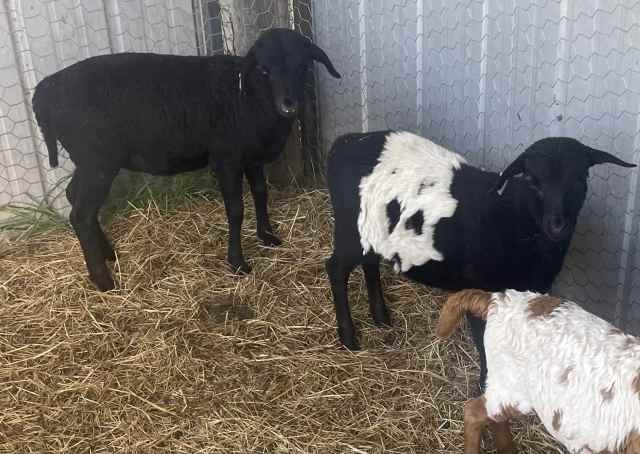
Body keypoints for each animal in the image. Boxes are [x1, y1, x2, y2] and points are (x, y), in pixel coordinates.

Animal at [32, 28, 341, 291]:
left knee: (73, 196)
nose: (289, 105)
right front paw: (237, 262)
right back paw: (104, 280)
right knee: (81, 214)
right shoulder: (226, 159)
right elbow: (236, 210)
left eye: (303, 65)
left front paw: (267, 236)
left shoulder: (251, 157)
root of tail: (44, 91)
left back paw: (108, 253)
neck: (248, 96)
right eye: (264, 69)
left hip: (89, 160)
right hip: (97, 160)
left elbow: (260, 193)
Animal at [325, 130, 635, 391]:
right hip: (351, 230)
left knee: (369, 263)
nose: (557, 226)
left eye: (581, 179)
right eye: (532, 181)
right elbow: (485, 343)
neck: (511, 216)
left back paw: (381, 317)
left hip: (372, 232)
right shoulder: (482, 291)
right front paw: (486, 387)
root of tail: (345, 141)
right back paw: (349, 338)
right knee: (336, 269)